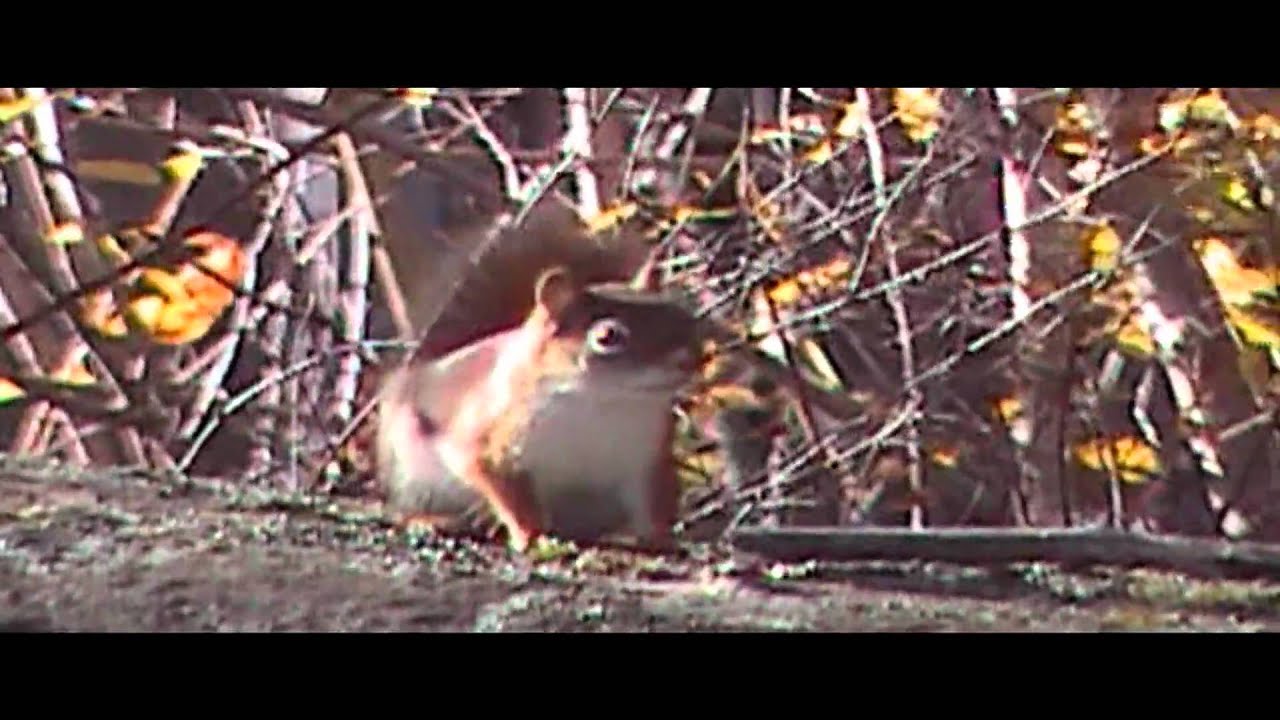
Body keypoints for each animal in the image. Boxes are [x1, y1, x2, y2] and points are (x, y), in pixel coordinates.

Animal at [375, 201, 705, 552]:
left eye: (683, 316)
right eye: (608, 336)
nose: (689, 361)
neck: (602, 402)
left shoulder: (649, 460)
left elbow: (654, 503)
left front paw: (663, 538)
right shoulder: (488, 442)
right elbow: (509, 493)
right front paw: (530, 536)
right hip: (410, 472)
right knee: (410, 506)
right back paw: (432, 521)